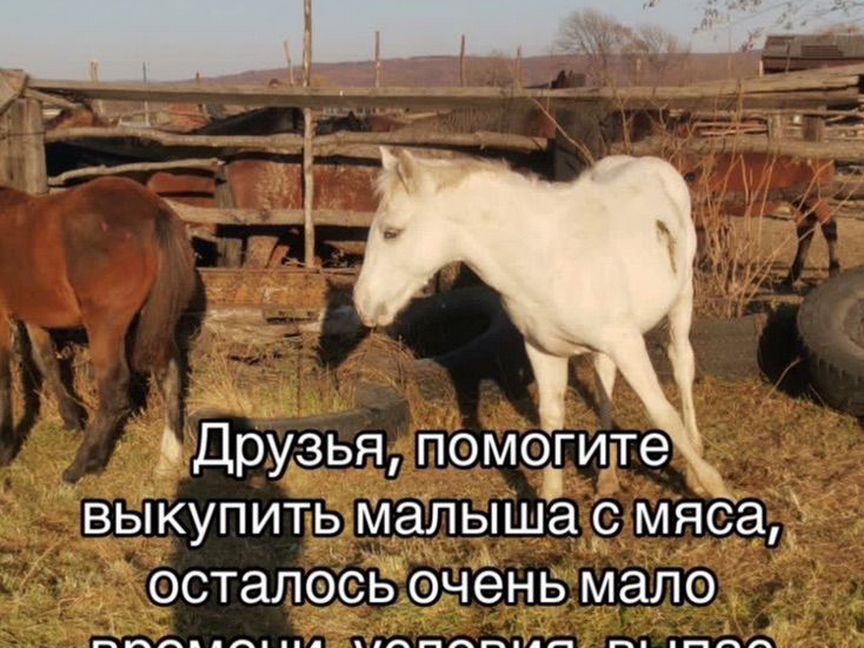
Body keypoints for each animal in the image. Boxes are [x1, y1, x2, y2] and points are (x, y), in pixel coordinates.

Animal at [0, 177, 197, 483]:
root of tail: (154, 210)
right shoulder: (34, 315)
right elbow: (46, 362)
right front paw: (71, 419)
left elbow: (5, 375)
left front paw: (6, 450)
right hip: (154, 320)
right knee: (170, 373)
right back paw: (167, 462)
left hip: (106, 325)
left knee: (114, 387)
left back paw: (79, 467)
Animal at [354, 147, 732, 501]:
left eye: (391, 233)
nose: (362, 304)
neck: (547, 258)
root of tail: (654, 163)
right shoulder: (543, 349)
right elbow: (551, 416)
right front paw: (552, 497)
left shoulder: (627, 342)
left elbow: (662, 414)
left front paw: (714, 487)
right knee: (604, 379)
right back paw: (608, 478)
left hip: (682, 298)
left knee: (681, 364)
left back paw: (693, 462)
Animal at [676, 151, 838, 286]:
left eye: (690, 177)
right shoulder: (717, 214)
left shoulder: (704, 214)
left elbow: (701, 245)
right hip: (799, 203)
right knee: (806, 231)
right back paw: (790, 278)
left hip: (814, 199)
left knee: (829, 224)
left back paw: (834, 270)